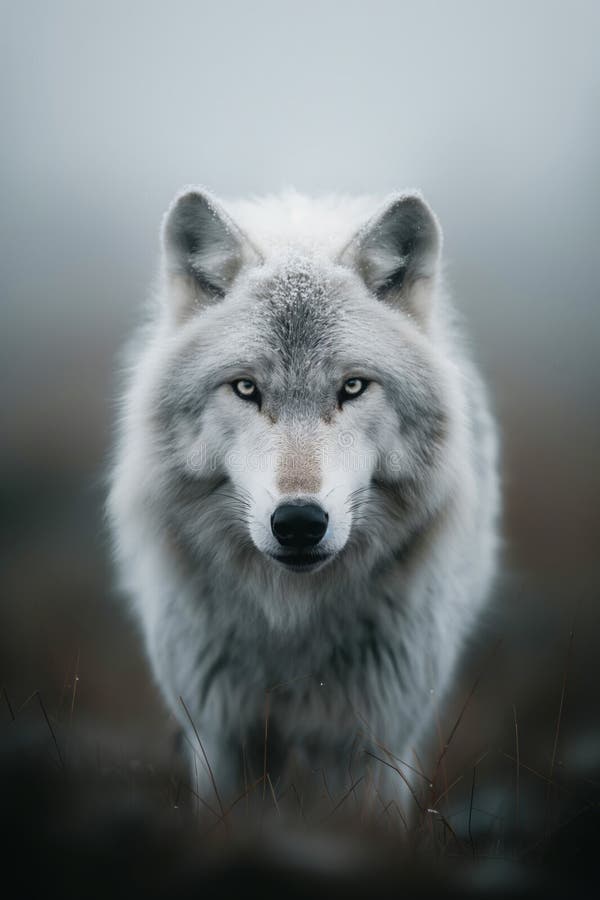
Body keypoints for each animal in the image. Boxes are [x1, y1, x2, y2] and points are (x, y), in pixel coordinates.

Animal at [108, 187, 499, 815]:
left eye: (353, 387)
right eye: (245, 388)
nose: (297, 522)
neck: (291, 618)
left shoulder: (372, 740)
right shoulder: (222, 734)